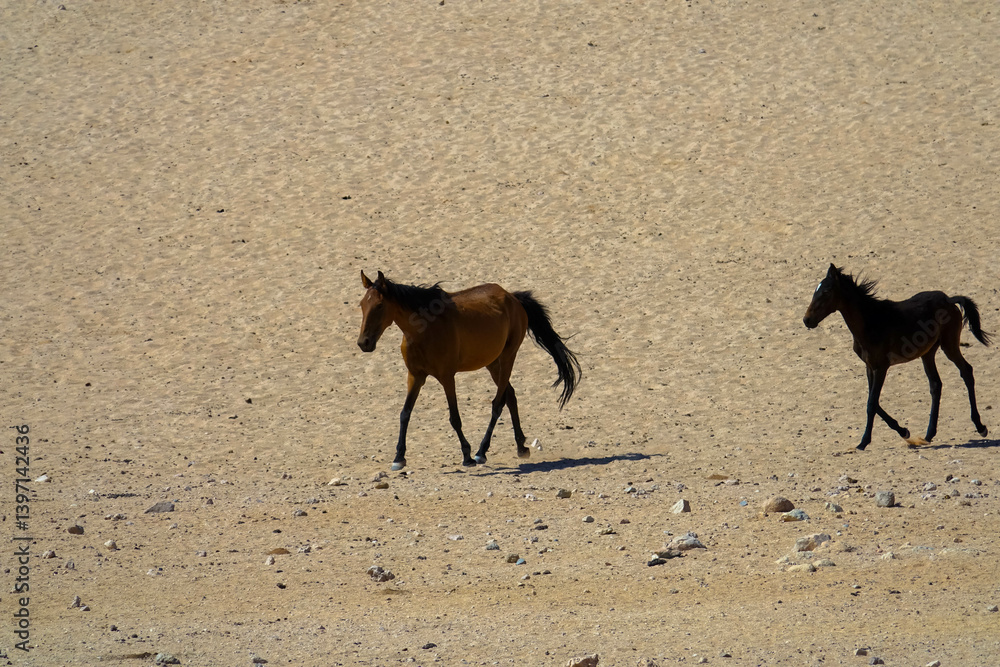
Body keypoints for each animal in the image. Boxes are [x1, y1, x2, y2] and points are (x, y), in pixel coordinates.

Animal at [357, 270, 581, 470]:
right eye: (361, 305)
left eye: (379, 305)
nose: (363, 343)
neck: (423, 330)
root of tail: (512, 297)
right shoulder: (415, 376)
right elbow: (405, 414)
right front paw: (399, 457)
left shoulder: (447, 377)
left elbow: (455, 418)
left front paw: (467, 456)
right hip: (493, 363)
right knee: (510, 396)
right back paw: (521, 446)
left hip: (507, 358)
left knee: (498, 403)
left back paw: (481, 452)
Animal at [803, 263, 991, 451]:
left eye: (826, 292)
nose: (807, 320)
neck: (871, 322)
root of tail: (950, 299)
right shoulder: (869, 367)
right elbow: (873, 401)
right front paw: (904, 431)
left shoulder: (881, 367)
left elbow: (872, 403)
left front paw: (864, 442)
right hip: (928, 353)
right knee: (936, 385)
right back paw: (929, 435)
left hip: (949, 345)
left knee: (966, 371)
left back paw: (980, 427)